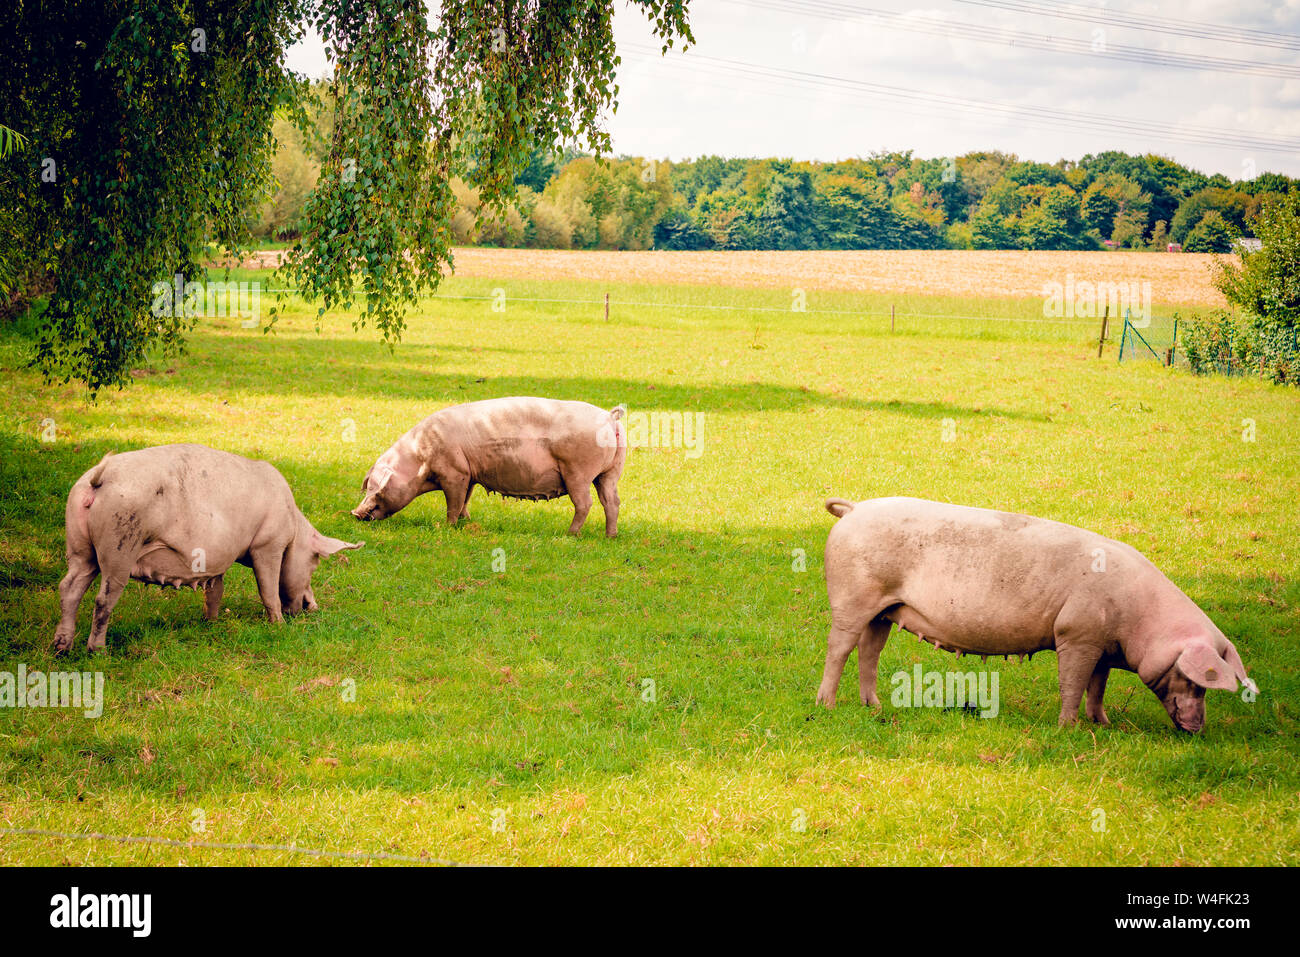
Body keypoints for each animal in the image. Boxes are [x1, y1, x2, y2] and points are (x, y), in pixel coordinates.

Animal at [54, 444, 362, 654]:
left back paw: (61, 648)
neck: (293, 525)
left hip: (80, 545)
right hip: (120, 545)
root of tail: (101, 475)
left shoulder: (217, 559)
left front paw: (211, 622)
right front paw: (279, 626)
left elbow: (215, 590)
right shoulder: (268, 545)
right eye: (315, 561)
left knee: (69, 586)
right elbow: (269, 590)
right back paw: (98, 651)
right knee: (102, 599)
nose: (312, 607)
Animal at [352, 397, 626, 537]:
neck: (419, 457)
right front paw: (467, 521)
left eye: (376, 488)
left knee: (585, 503)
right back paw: (610, 536)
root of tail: (609, 417)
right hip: (610, 472)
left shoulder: (455, 473)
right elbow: (465, 499)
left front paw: (447, 526)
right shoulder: (470, 475)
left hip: (577, 470)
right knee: (611, 501)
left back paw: (570, 534)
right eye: (368, 486)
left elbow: (454, 502)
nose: (354, 513)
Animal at [817, 496, 1257, 733]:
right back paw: (827, 706)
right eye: (1198, 680)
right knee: (839, 647)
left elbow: (1097, 686)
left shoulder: (1101, 645)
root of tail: (853, 510)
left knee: (869, 651)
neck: (1139, 621)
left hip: (885, 610)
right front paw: (1067, 728)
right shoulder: (1076, 633)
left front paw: (1103, 724)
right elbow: (1073, 683)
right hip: (852, 598)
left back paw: (875, 707)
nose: (1198, 729)